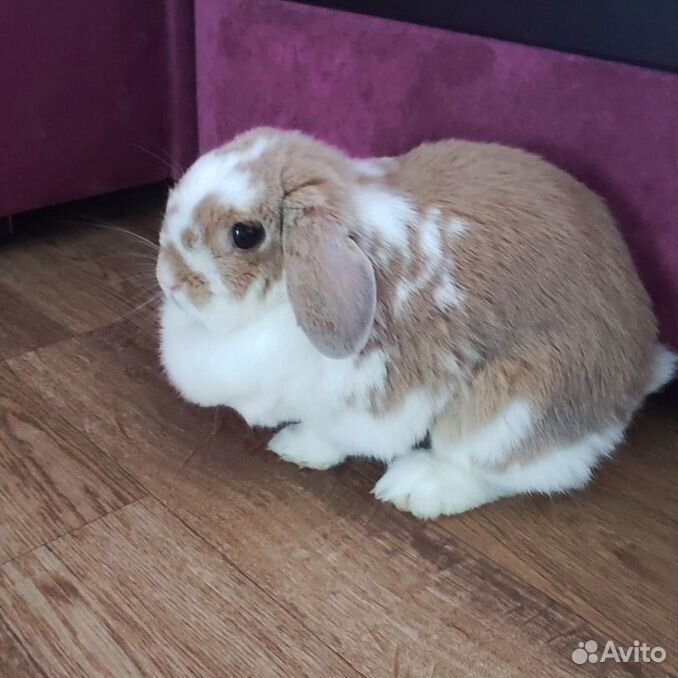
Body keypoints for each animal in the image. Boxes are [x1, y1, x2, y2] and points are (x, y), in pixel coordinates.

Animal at [156, 127, 675, 518]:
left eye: (244, 234)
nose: (169, 281)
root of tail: (640, 369)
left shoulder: (369, 399)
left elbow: (333, 432)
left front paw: (297, 446)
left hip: (515, 403)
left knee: (508, 468)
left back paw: (415, 487)